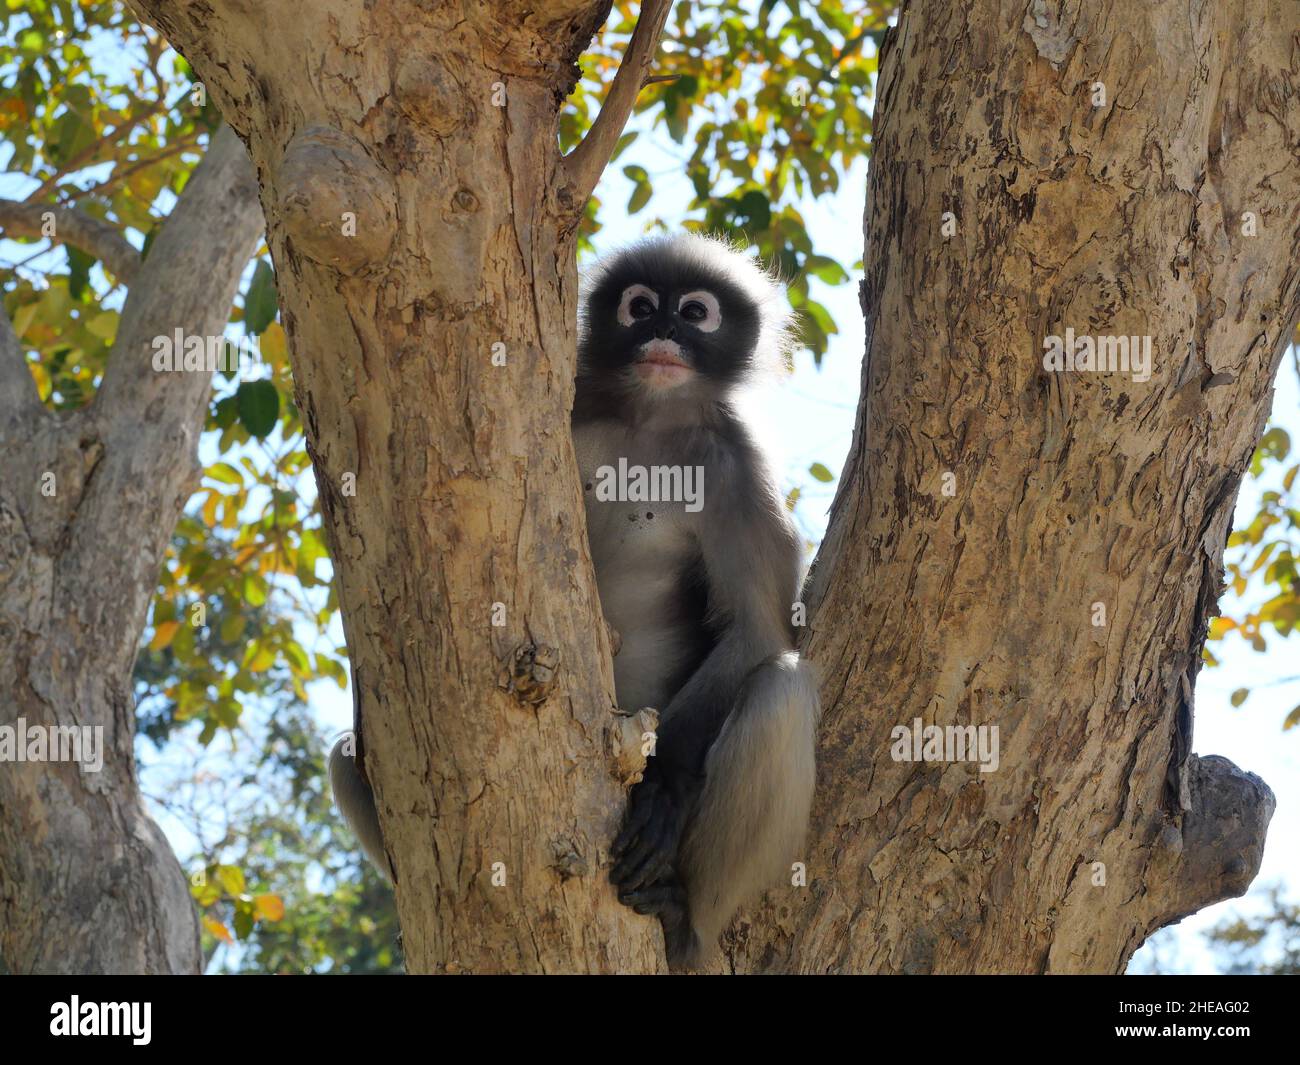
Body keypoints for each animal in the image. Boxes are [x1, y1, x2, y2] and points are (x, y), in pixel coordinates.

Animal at [329, 232, 819, 970]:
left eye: (695, 313)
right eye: (640, 307)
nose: (664, 331)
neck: (648, 421)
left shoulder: (739, 468)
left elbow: (758, 632)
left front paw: (663, 784)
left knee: (781, 691)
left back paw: (685, 922)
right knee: (344, 752)